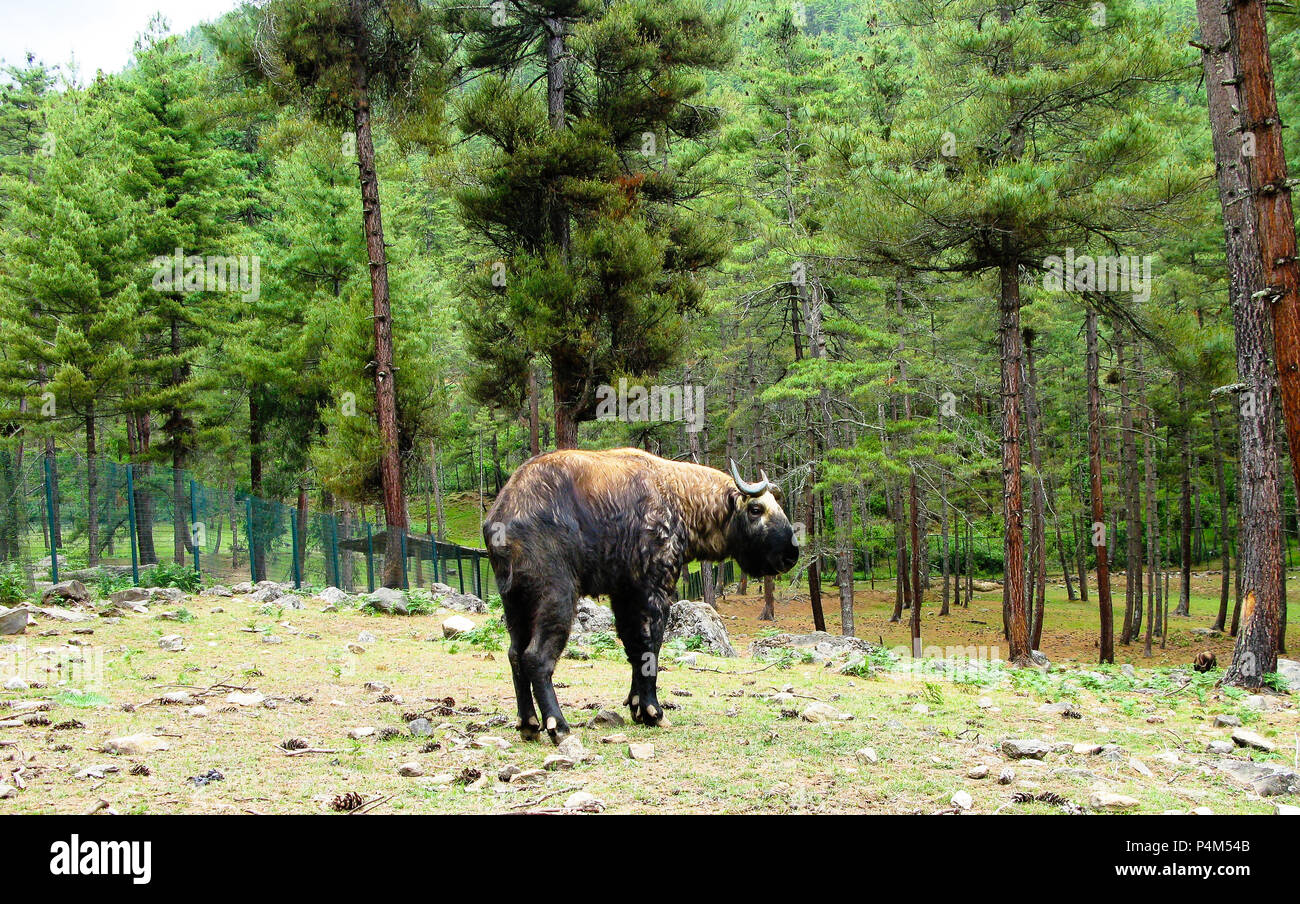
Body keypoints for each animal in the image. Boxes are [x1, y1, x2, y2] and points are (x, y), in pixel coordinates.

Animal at [483, 448, 800, 743]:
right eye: (756, 509)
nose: (791, 554)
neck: (679, 499)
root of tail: (502, 515)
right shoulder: (655, 590)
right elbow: (650, 649)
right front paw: (652, 711)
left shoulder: (624, 595)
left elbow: (634, 651)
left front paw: (636, 707)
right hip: (556, 597)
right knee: (536, 658)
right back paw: (557, 725)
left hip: (514, 603)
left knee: (514, 655)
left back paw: (528, 723)